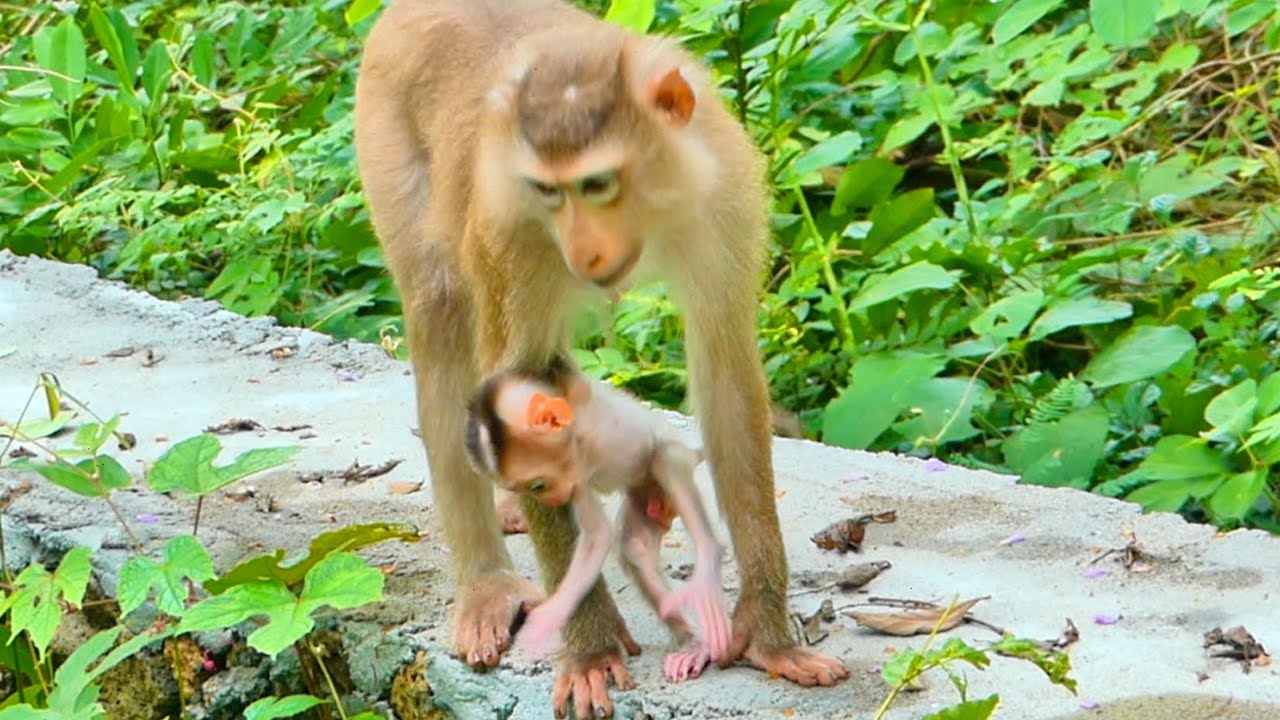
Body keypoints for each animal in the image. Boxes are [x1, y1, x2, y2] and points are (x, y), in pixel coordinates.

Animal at [464, 366, 731, 682]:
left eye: (538, 486)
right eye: (529, 490)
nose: (552, 500)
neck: (581, 434)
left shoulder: (575, 466)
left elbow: (599, 537)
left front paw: (546, 619)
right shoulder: (574, 477)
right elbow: (598, 536)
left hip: (671, 462)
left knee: (665, 458)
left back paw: (708, 561)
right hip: (646, 492)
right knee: (635, 547)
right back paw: (693, 643)